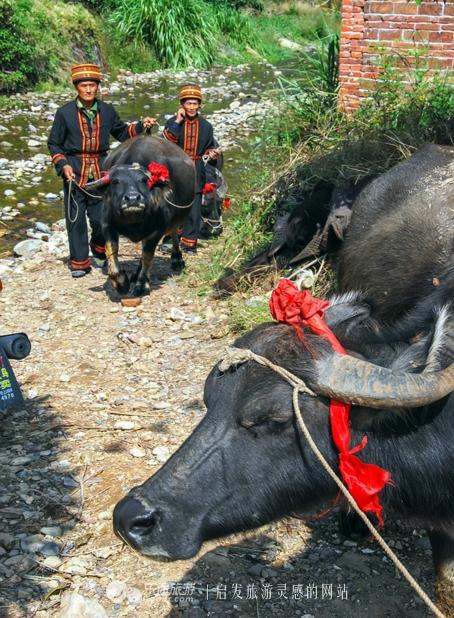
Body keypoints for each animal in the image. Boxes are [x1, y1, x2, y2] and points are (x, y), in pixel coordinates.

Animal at [87, 136, 195, 294]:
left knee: (174, 233)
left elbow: (147, 256)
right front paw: (121, 283)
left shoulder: (157, 230)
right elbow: (111, 251)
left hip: (176, 221)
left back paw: (177, 260)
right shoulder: (107, 225)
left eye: (144, 180)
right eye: (115, 181)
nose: (133, 199)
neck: (134, 220)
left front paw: (142, 284)